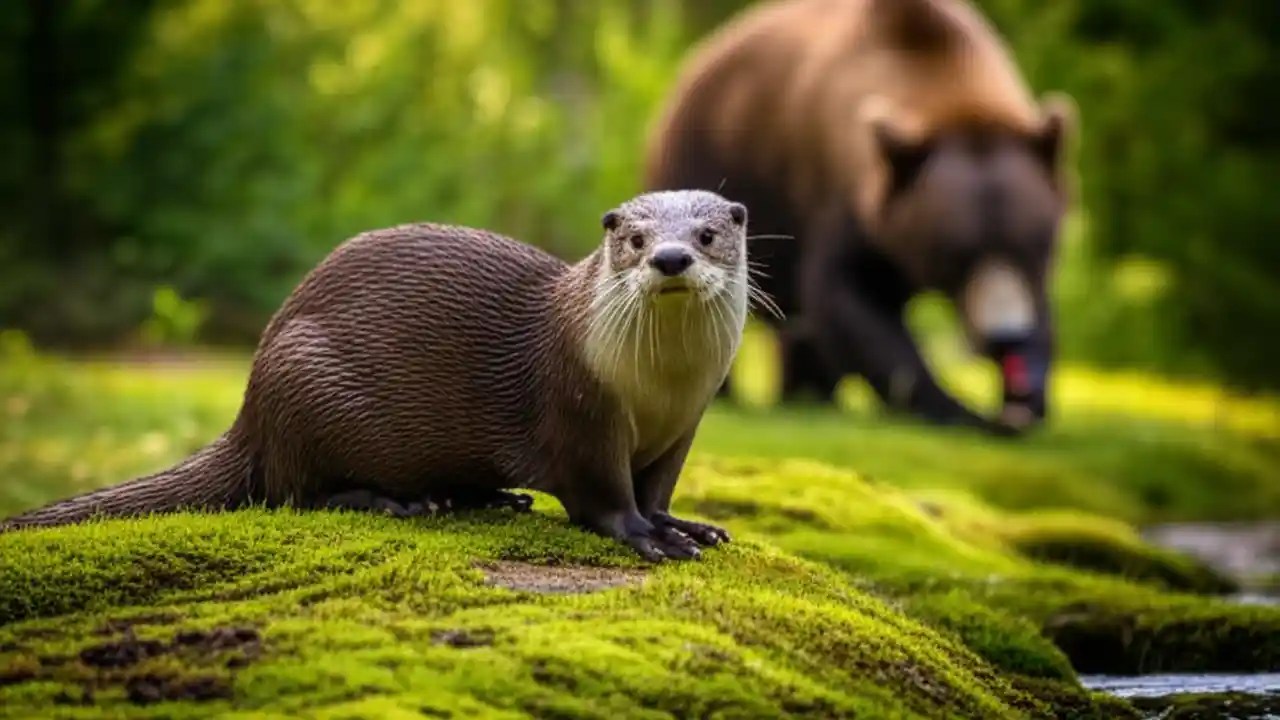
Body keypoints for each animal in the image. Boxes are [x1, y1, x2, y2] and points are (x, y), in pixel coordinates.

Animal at [2, 190, 751, 562]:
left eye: (709, 233)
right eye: (634, 238)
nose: (671, 257)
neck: (661, 388)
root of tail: (251, 403)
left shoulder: (686, 424)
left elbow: (657, 487)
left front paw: (687, 523)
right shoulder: (580, 413)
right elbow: (604, 498)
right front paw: (653, 538)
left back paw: (484, 497)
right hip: (304, 385)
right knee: (290, 492)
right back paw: (396, 502)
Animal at [643, 0, 1075, 435]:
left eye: (1032, 245)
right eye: (957, 254)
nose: (1006, 337)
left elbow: (1039, 303)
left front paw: (1025, 395)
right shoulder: (844, 200)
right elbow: (848, 298)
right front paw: (961, 410)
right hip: (707, 166)